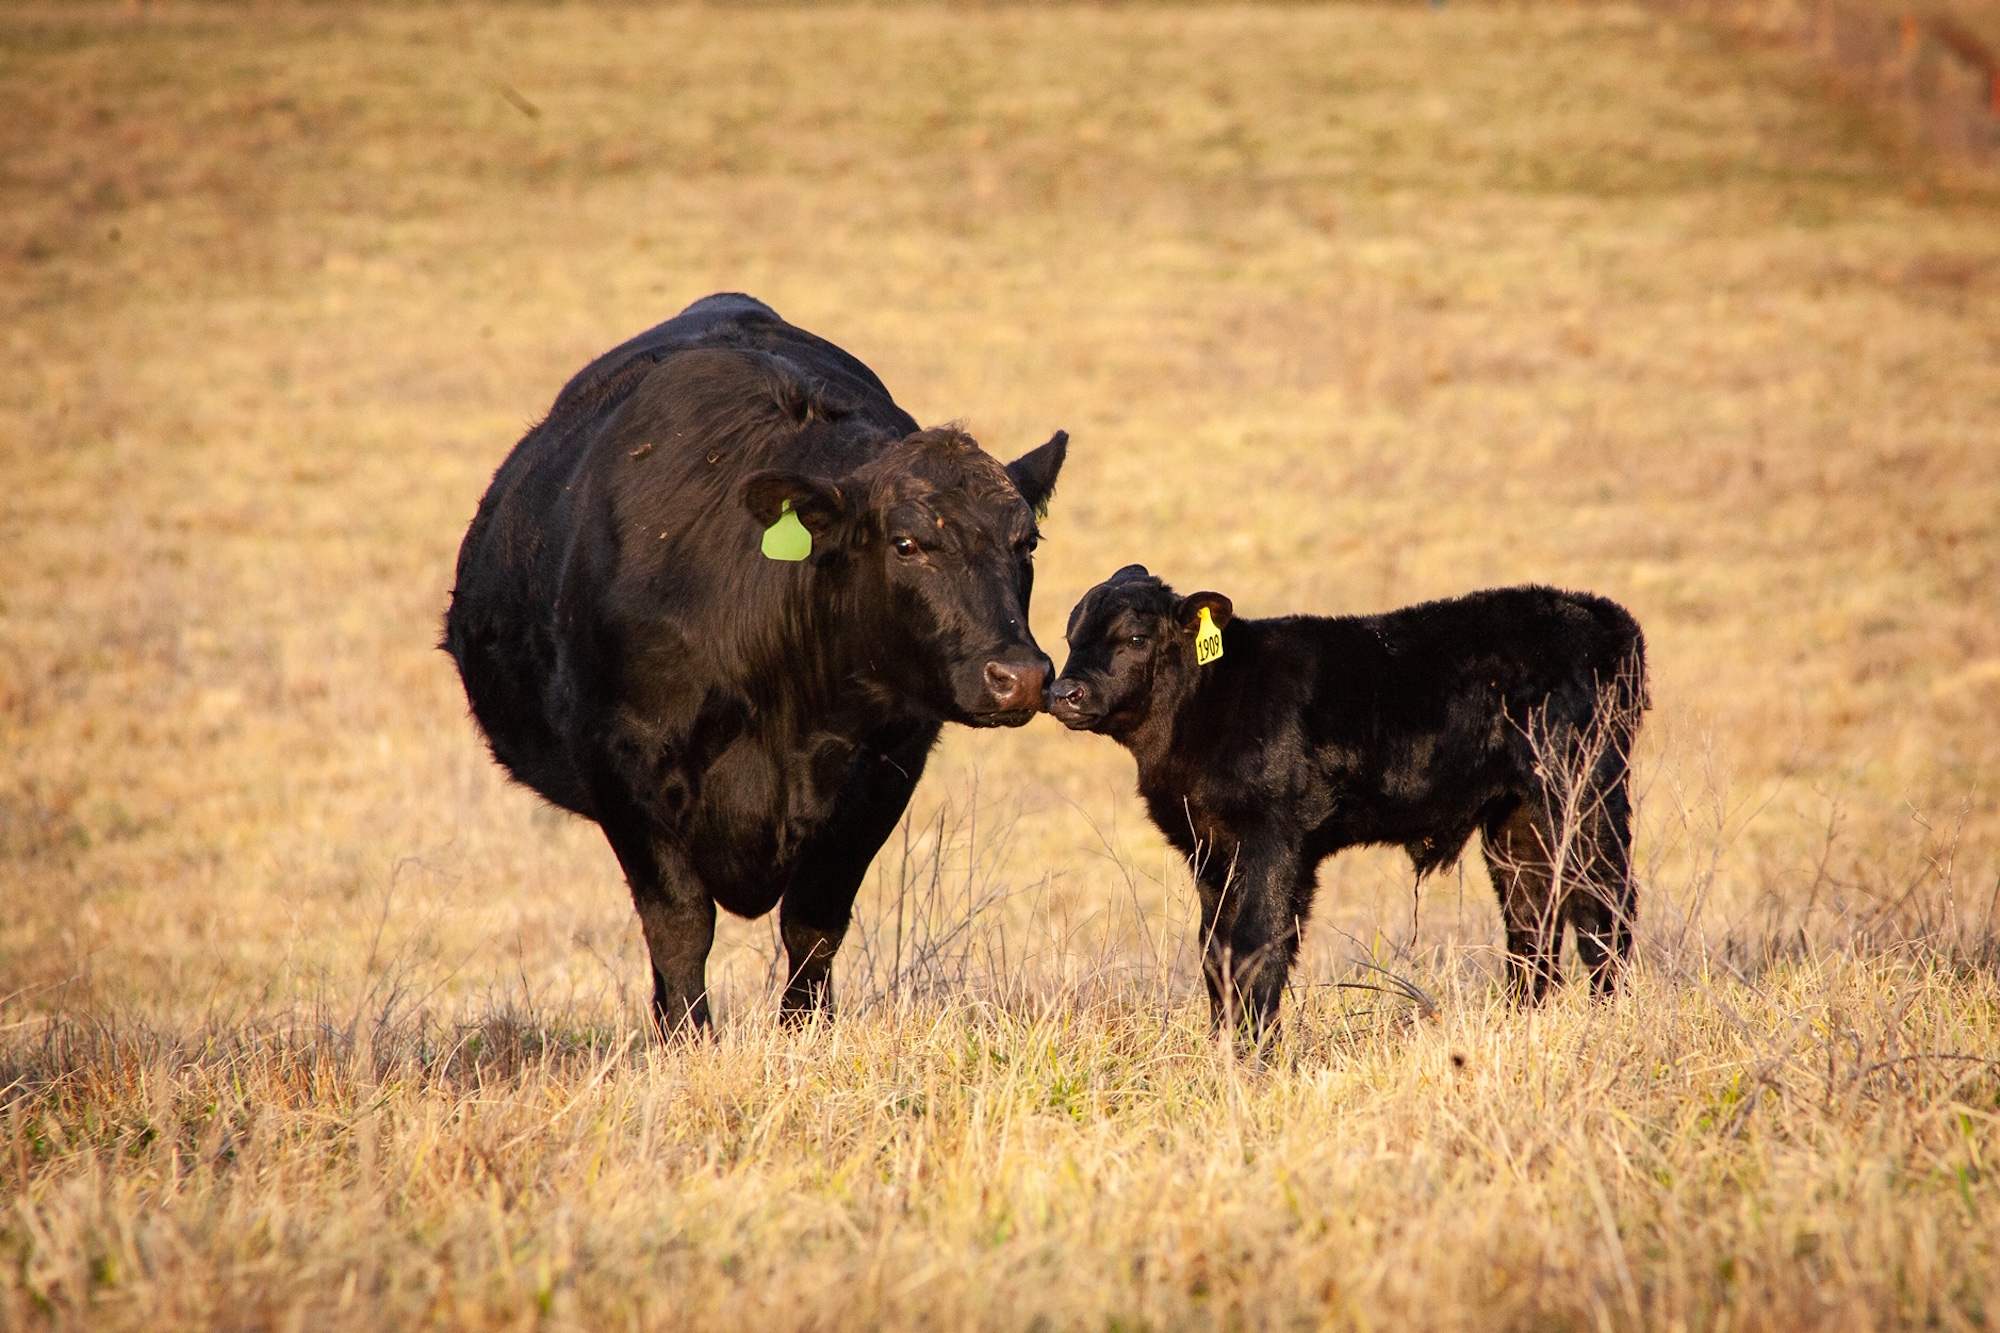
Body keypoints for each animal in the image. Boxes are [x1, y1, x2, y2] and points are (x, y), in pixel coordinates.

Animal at [443, 294, 1068, 1036]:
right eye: (906, 543)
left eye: (1027, 542)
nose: (1020, 675)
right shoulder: (619, 761)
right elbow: (680, 925)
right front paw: (689, 1040)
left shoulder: (887, 768)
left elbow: (815, 922)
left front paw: (806, 1032)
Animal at [1047, 567, 1646, 1041]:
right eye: (1070, 635)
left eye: (1136, 636)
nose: (1063, 693)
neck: (1207, 705)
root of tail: (1599, 613)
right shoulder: (1208, 848)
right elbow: (1215, 951)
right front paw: (1223, 1049)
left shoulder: (1275, 840)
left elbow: (1257, 947)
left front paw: (1257, 1058)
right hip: (1517, 818)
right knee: (1532, 915)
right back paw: (1522, 1022)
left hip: (1586, 792)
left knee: (1602, 907)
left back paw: (1609, 1019)